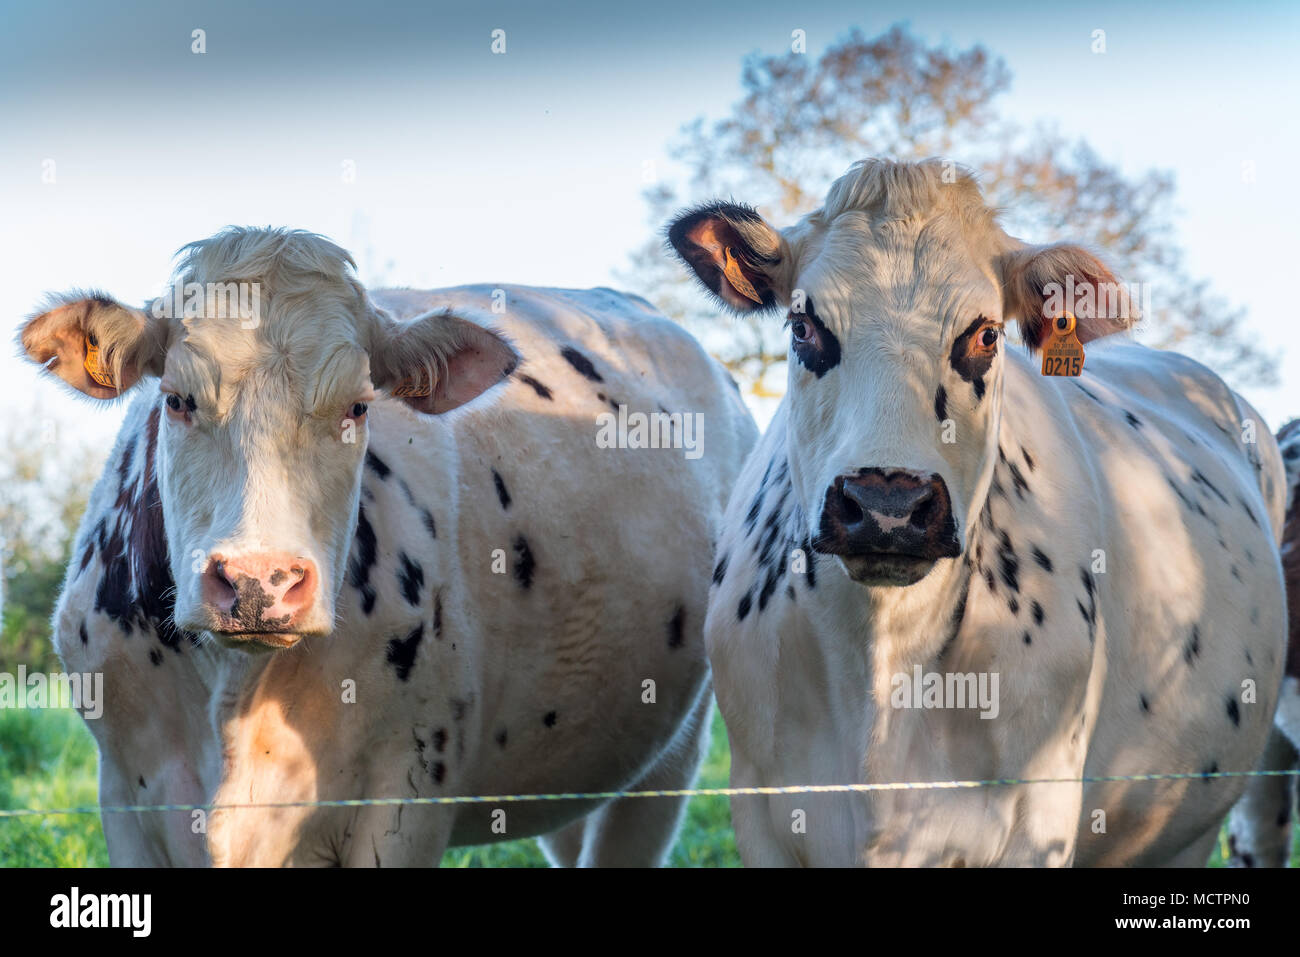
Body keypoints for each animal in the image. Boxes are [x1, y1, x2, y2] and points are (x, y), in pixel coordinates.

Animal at [21, 227, 757, 866]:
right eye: (176, 400)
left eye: (358, 406)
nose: (260, 582)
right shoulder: (125, 794)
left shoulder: (407, 793)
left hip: (669, 762)